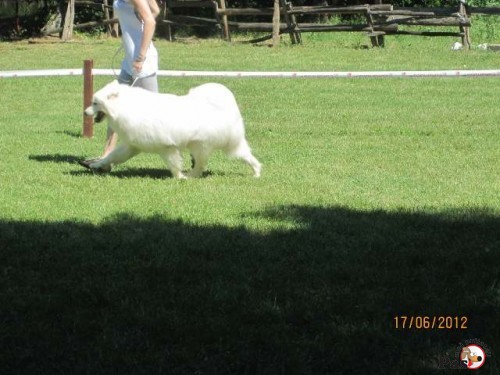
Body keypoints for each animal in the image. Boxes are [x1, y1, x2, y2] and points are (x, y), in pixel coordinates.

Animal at [83, 80, 262, 179]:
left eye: (95, 103)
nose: (84, 112)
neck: (124, 108)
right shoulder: (131, 146)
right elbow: (112, 156)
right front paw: (97, 164)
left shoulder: (167, 147)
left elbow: (174, 165)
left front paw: (179, 177)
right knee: (247, 155)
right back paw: (257, 172)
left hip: (201, 146)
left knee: (200, 165)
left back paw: (190, 176)